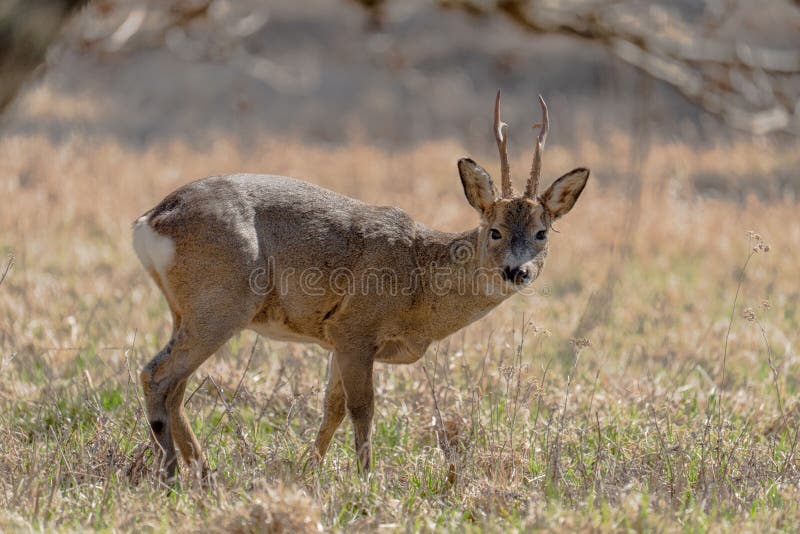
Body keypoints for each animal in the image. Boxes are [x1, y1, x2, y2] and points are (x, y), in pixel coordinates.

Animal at [132, 91, 589, 481]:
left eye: (541, 234)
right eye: (494, 231)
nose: (517, 271)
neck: (419, 284)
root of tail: (150, 219)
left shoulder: (336, 336)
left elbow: (331, 407)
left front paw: (309, 468)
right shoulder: (355, 326)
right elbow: (362, 408)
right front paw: (366, 479)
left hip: (187, 309)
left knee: (175, 387)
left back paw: (202, 471)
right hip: (222, 302)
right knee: (156, 374)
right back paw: (170, 472)